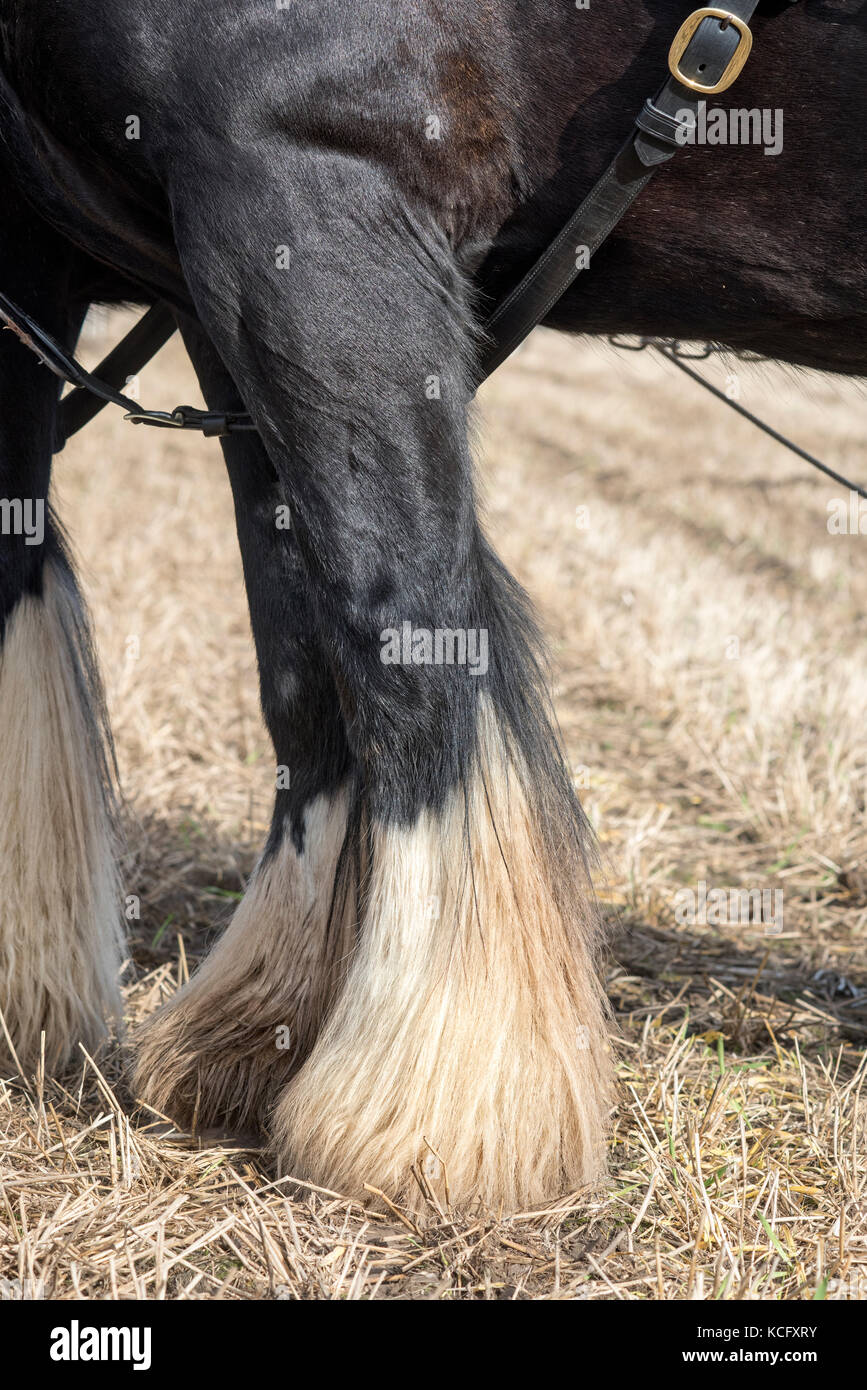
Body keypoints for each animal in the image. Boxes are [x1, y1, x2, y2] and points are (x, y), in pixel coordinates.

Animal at [0, 0, 864, 1215]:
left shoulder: (310, 192)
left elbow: (402, 630)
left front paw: (434, 1114)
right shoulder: (203, 274)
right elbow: (299, 659)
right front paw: (256, 1035)